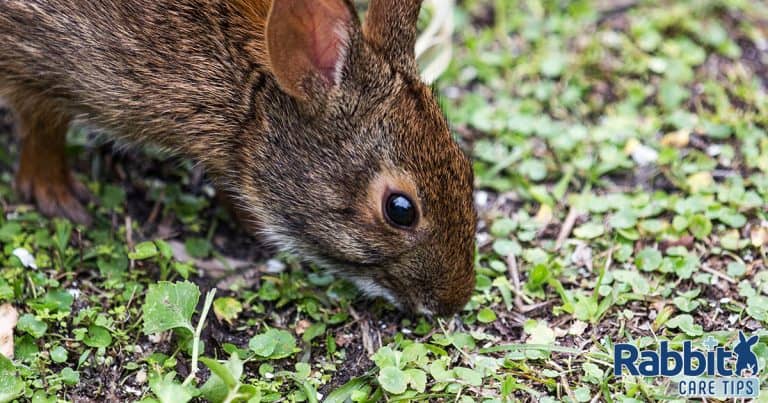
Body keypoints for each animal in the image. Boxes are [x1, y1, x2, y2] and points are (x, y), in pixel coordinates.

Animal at [0, 0, 477, 315]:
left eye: (466, 169)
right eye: (400, 210)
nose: (454, 301)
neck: (253, 97)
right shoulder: (38, 53)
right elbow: (41, 126)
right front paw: (56, 196)